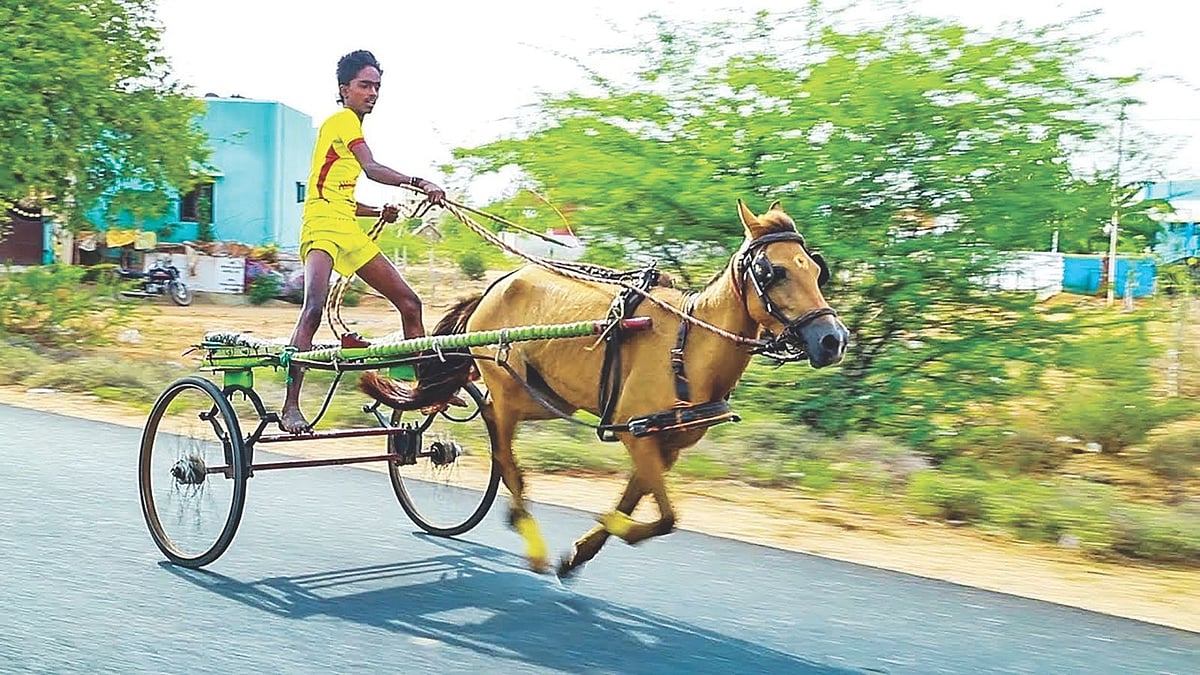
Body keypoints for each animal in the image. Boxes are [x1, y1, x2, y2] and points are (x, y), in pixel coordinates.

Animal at [414, 199, 847, 577]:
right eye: (774, 271)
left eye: (815, 269)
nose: (833, 340)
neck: (689, 346)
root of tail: (493, 287)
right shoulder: (637, 435)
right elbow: (667, 517)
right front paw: (609, 529)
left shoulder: (665, 444)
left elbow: (639, 505)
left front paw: (584, 549)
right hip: (508, 386)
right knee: (505, 454)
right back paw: (531, 538)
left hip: (545, 397)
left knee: (494, 425)